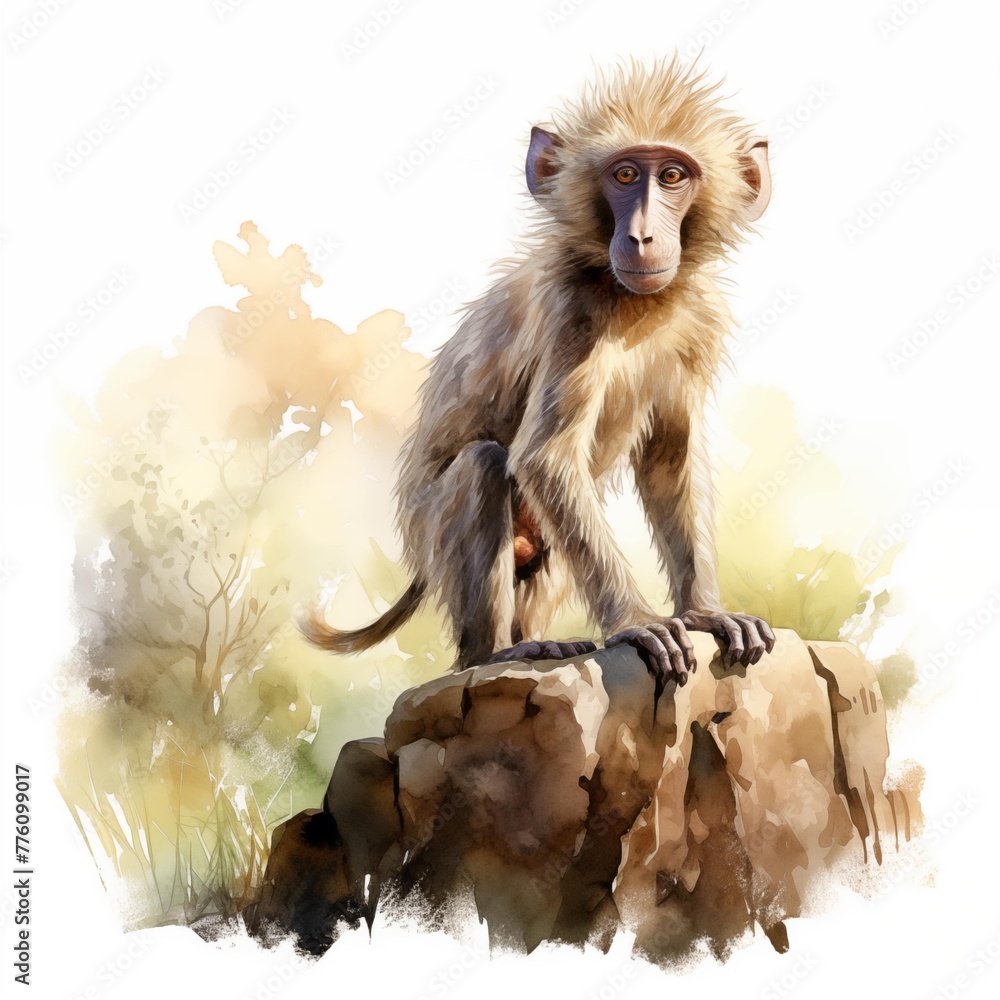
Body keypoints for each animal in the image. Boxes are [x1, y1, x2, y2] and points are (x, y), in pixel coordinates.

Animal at [303, 58, 776, 690]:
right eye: (626, 174)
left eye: (674, 176)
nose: (643, 236)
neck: (632, 301)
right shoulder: (571, 316)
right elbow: (544, 458)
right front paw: (638, 622)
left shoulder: (695, 323)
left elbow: (668, 461)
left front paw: (704, 612)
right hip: (428, 531)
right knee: (484, 467)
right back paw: (496, 653)